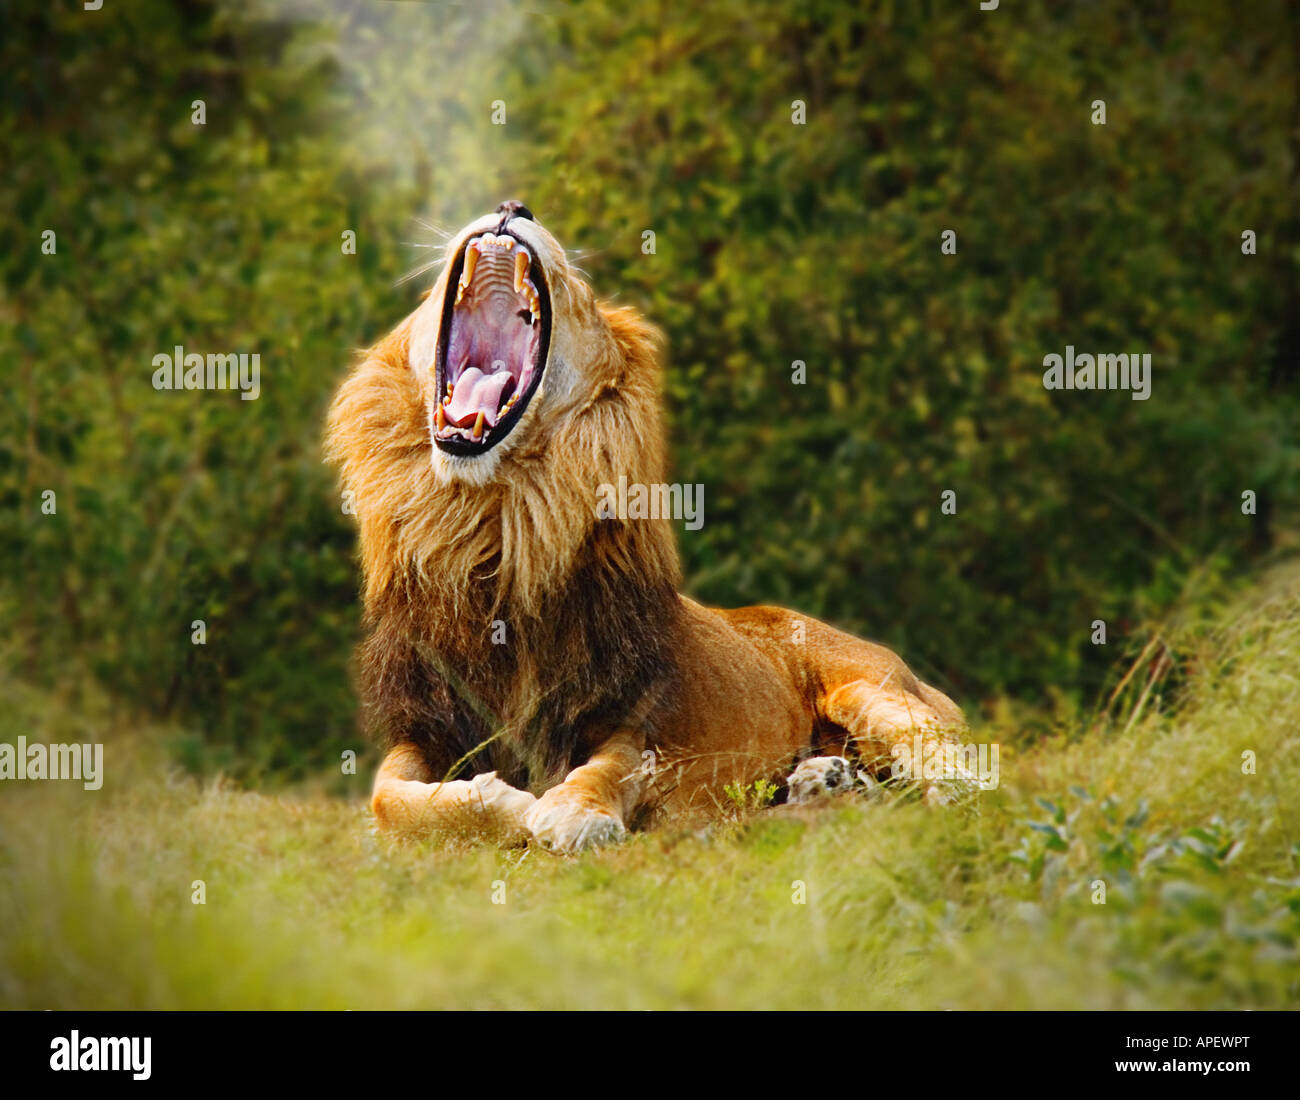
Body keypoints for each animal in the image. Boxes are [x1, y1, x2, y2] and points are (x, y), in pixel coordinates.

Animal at [326, 200, 974, 853]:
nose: (512, 207)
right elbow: (391, 799)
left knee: (949, 765)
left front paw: (572, 810)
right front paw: (508, 804)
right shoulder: (427, 726)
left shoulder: (628, 713)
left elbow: (610, 768)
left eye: (581, 289)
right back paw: (825, 779)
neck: (498, 523)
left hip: (871, 690)